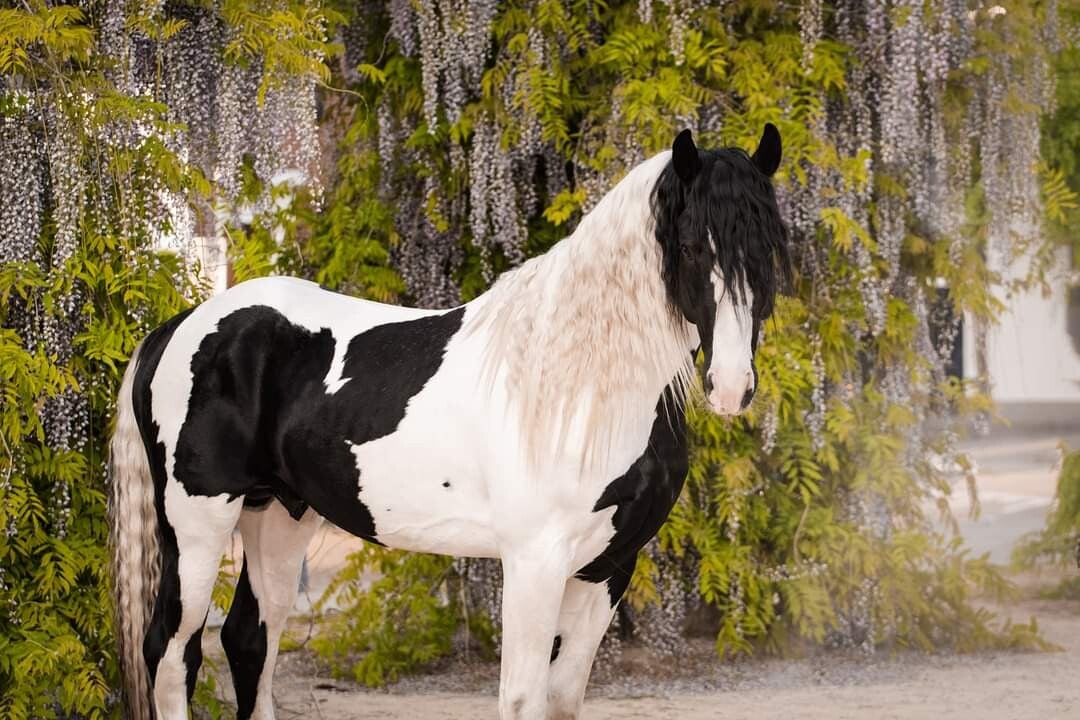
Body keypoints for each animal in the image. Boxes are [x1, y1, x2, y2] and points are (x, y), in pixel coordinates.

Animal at [108, 125, 790, 720]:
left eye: (771, 251)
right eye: (691, 247)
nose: (732, 386)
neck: (581, 385)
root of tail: (181, 326)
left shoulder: (608, 567)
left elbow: (563, 700)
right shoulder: (535, 563)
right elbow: (523, 700)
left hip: (277, 515)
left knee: (250, 638)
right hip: (197, 528)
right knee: (170, 652)